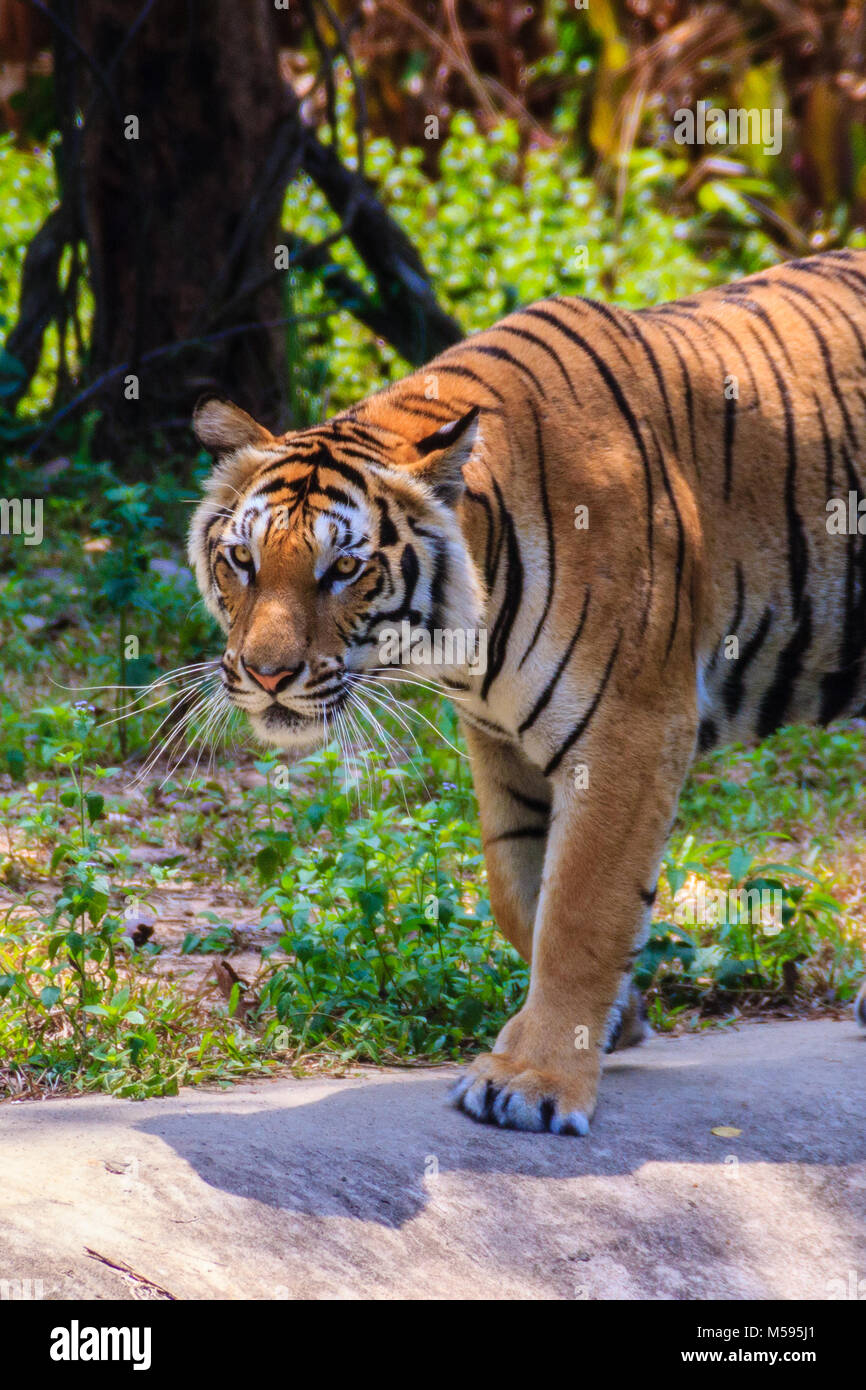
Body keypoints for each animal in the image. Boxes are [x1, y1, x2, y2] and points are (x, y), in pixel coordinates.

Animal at [189, 247, 866, 1136]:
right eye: (242, 560)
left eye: (344, 567)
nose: (267, 673)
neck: (465, 645)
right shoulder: (502, 737)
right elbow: (520, 893)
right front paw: (614, 1018)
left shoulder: (631, 730)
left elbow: (580, 907)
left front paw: (535, 1081)